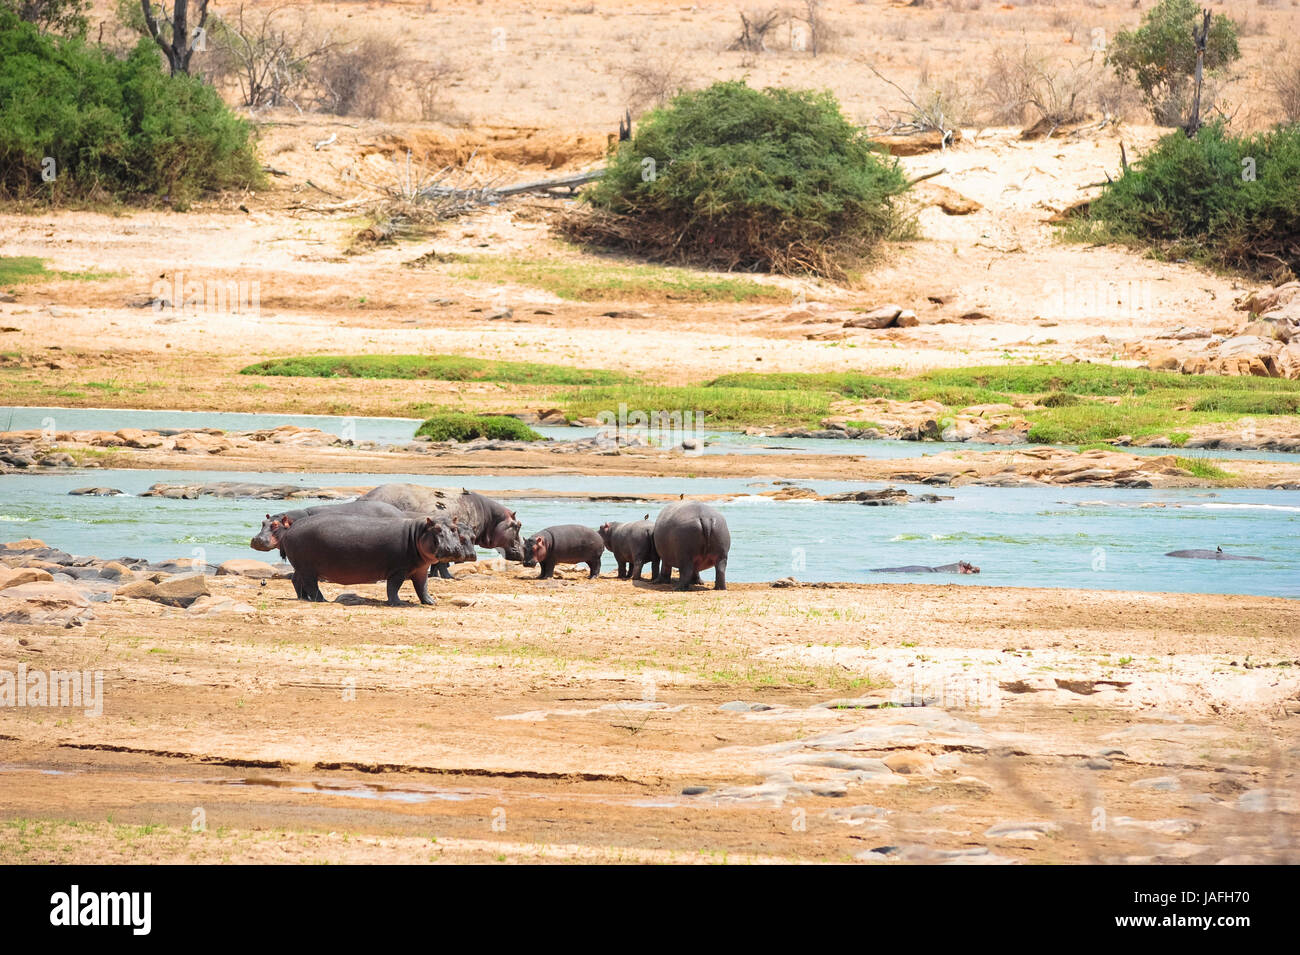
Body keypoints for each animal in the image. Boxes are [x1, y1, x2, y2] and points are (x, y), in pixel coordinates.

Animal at [280, 514, 476, 605]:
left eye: (454, 529)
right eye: (436, 529)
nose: (452, 549)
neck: (417, 533)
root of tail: (291, 528)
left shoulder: (420, 570)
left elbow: (423, 587)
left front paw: (431, 602)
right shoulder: (398, 570)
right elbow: (393, 587)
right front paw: (398, 603)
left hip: (301, 567)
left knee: (297, 581)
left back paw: (303, 598)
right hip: (308, 568)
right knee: (311, 584)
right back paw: (322, 600)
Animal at [361, 484, 524, 577]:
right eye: (518, 525)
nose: (524, 550)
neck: (492, 517)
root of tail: (363, 497)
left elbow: (437, 563)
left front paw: (434, 576)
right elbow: (453, 562)